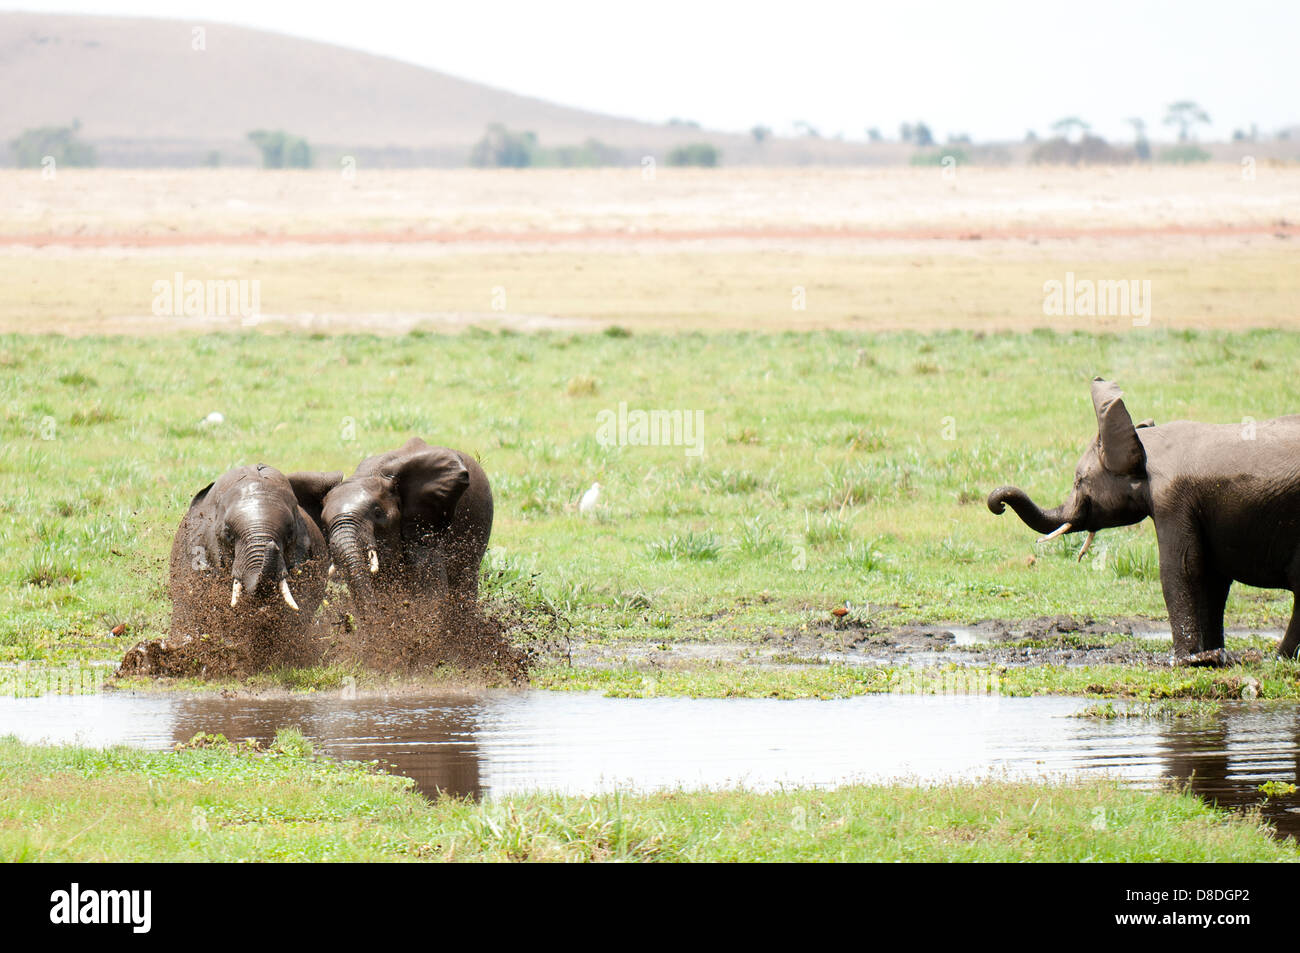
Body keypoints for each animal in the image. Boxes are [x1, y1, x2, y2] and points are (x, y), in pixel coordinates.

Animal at [988, 377, 1300, 665]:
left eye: (1079, 481)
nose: (999, 505)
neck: (1149, 445)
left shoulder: (1172, 499)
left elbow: (1183, 567)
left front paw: (1189, 661)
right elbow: (1213, 577)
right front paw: (1214, 656)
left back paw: (1278, 659)